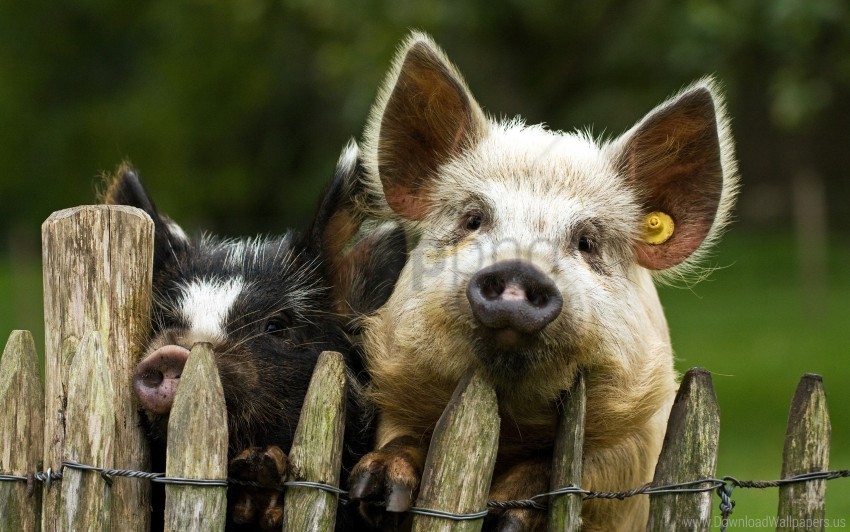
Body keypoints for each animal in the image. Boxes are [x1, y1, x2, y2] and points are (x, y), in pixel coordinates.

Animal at [347, 32, 739, 531]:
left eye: (587, 242)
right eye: (473, 219)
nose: (519, 270)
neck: (510, 426)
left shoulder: (637, 438)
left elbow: (573, 470)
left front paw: (506, 515)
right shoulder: (396, 395)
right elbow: (404, 439)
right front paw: (375, 493)